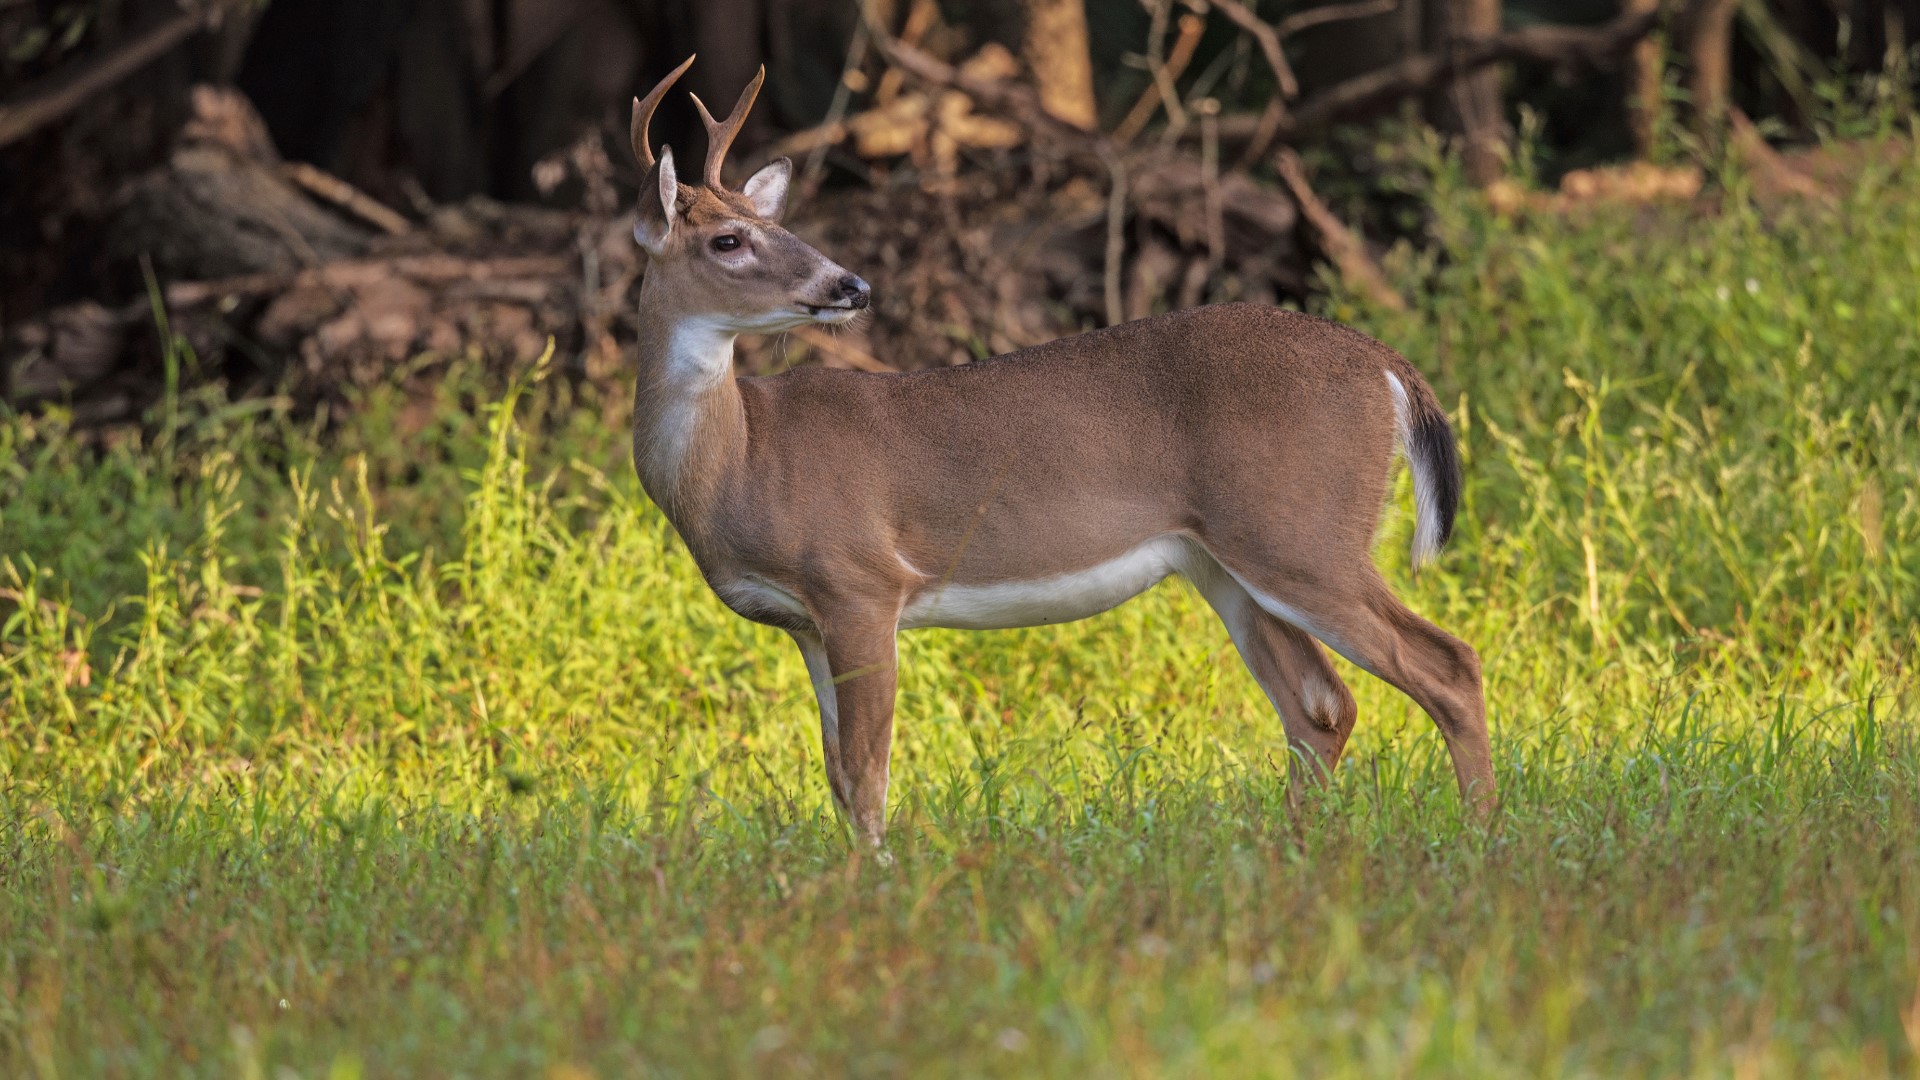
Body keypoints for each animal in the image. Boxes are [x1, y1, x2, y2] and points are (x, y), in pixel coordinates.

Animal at [624, 58, 1495, 848]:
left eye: (782, 229)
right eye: (730, 239)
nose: (851, 286)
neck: (743, 461)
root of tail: (1384, 364)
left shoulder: (861, 582)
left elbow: (869, 777)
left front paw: (878, 881)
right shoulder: (805, 621)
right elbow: (839, 775)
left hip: (1301, 533)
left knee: (1446, 663)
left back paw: (1480, 837)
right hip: (1224, 561)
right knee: (1320, 705)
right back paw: (1295, 849)